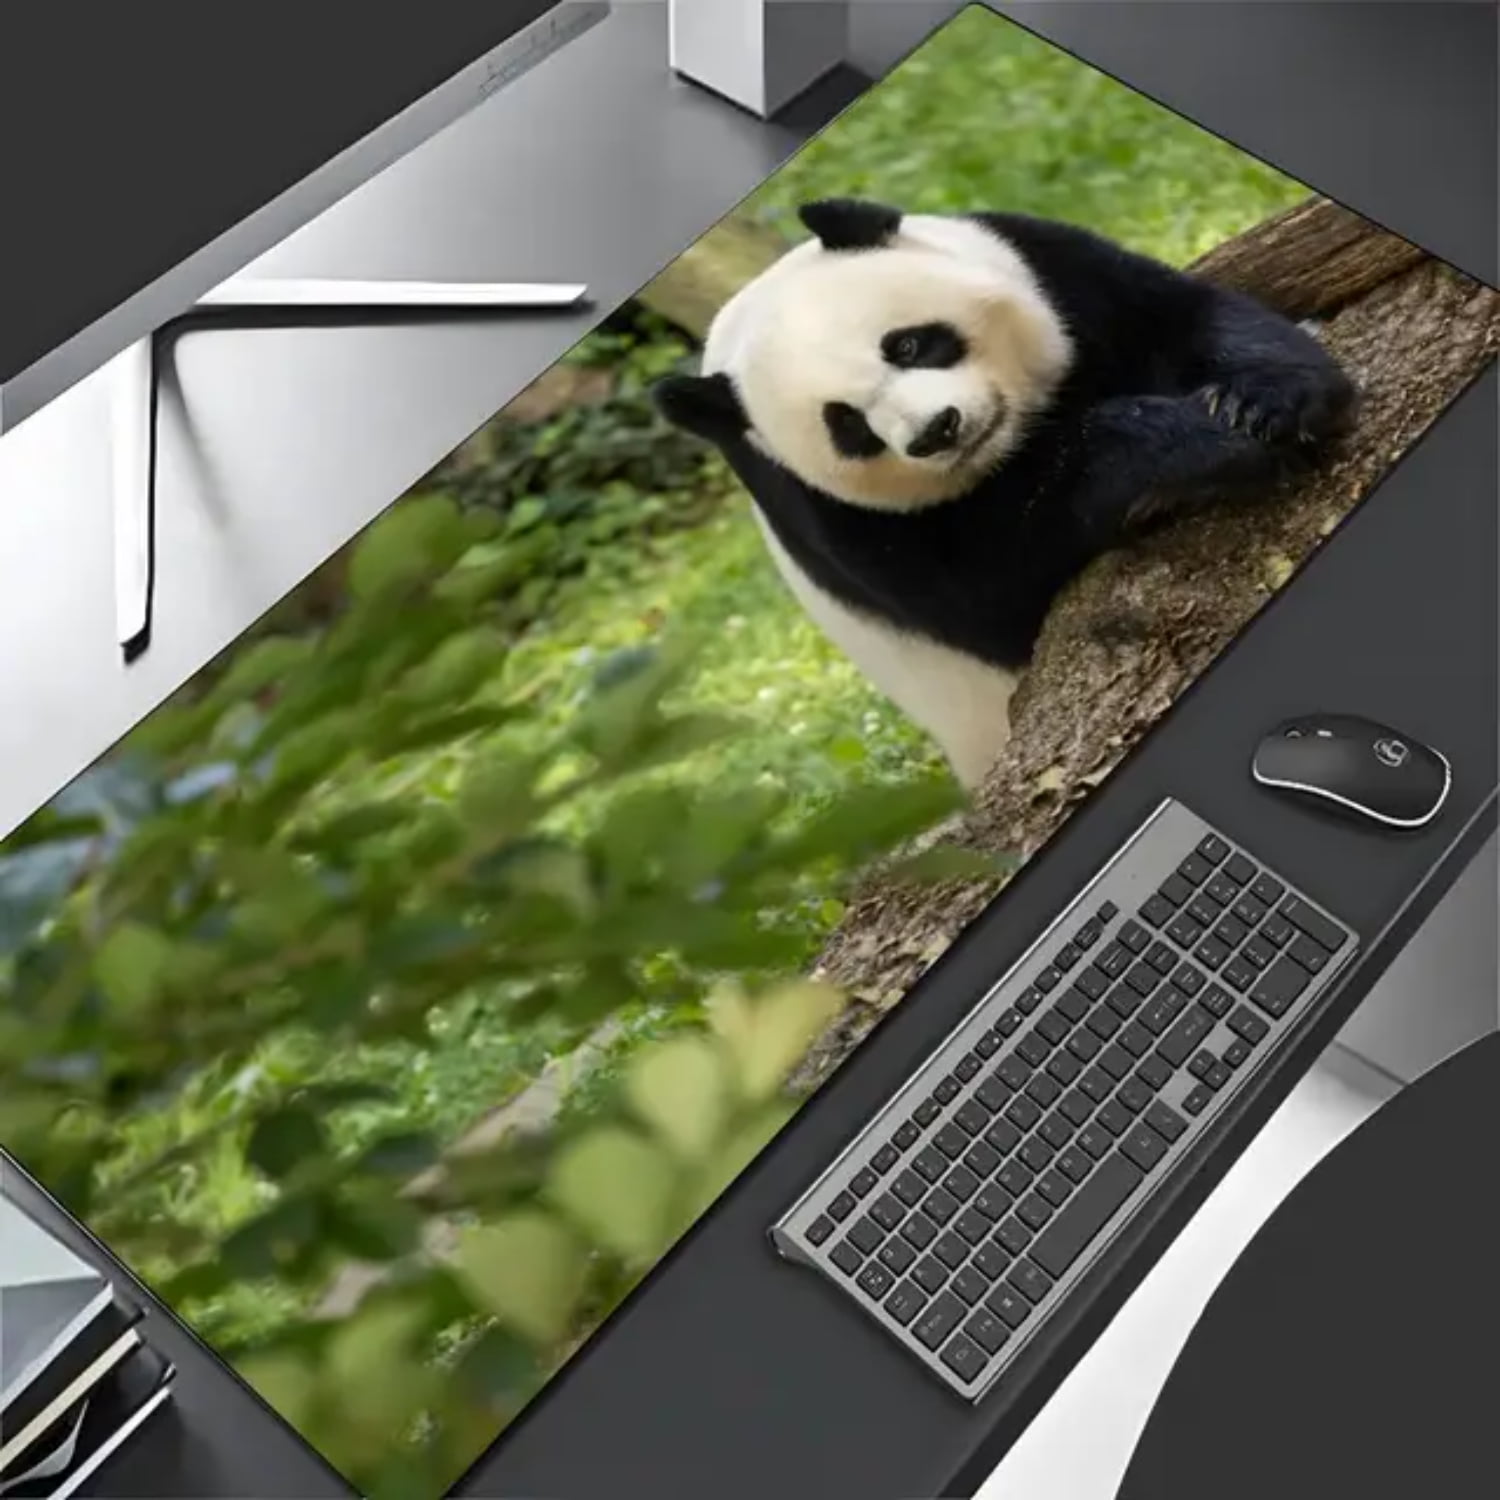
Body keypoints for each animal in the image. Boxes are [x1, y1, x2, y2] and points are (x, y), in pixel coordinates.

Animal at [653, 197, 1357, 788]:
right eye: (847, 425)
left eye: (907, 344)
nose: (937, 430)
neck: (1016, 441)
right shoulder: (816, 507)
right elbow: (988, 587)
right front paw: (1198, 445)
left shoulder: (1049, 268)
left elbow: (1185, 317)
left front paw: (1263, 402)